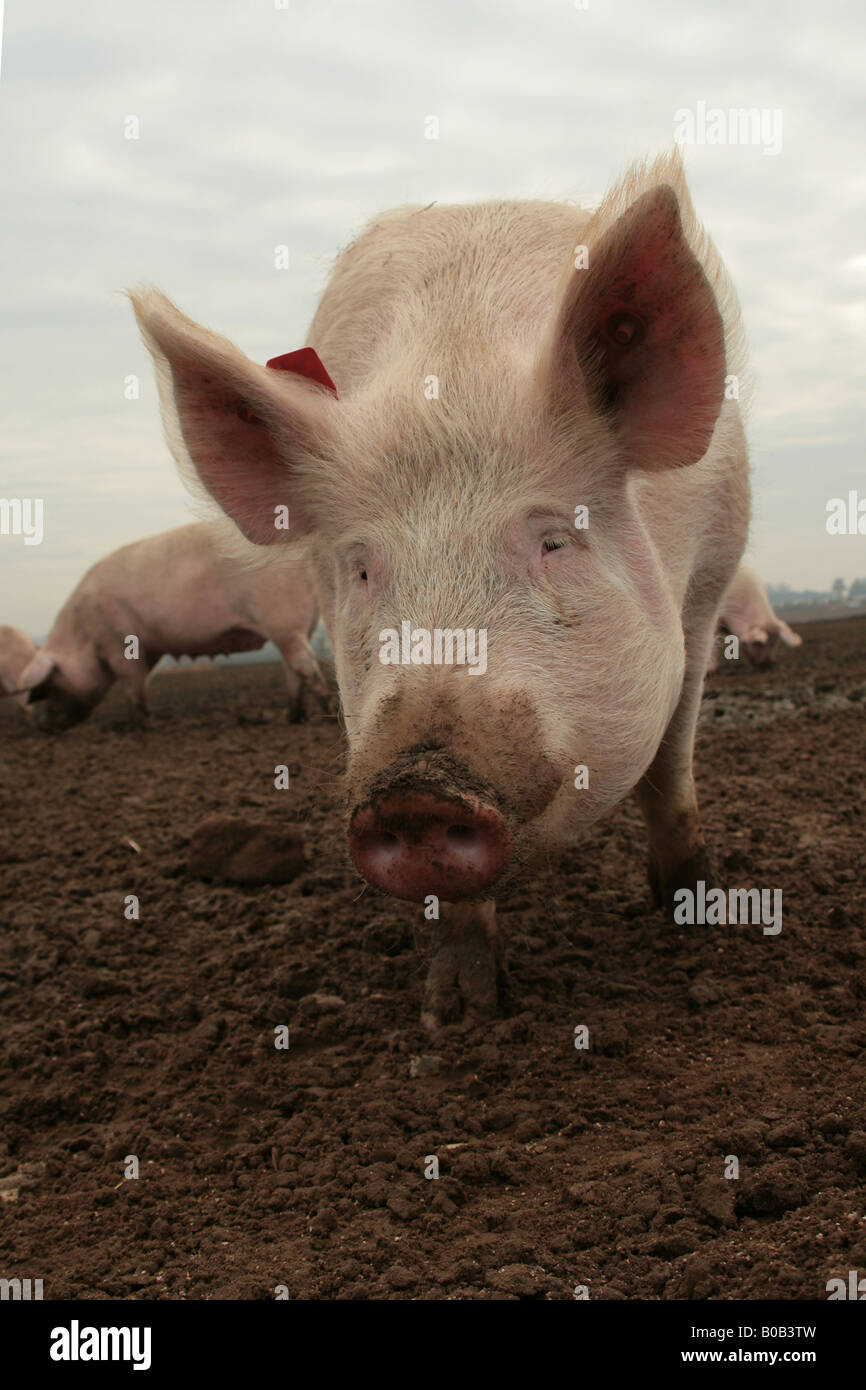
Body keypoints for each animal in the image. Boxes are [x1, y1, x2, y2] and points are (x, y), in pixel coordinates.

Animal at [18, 522, 327, 729]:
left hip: (282, 619)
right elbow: (143, 680)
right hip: (303, 625)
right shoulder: (149, 648)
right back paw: (292, 718)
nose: (42, 726)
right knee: (295, 670)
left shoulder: (118, 641)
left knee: (306, 665)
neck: (82, 635)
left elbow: (131, 684)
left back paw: (321, 713)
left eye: (49, 684)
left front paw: (139, 727)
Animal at [131, 151, 750, 1028]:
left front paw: (695, 917)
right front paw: (456, 1015)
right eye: (361, 568)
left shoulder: (706, 590)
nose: (415, 791)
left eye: (553, 540)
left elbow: (670, 765)